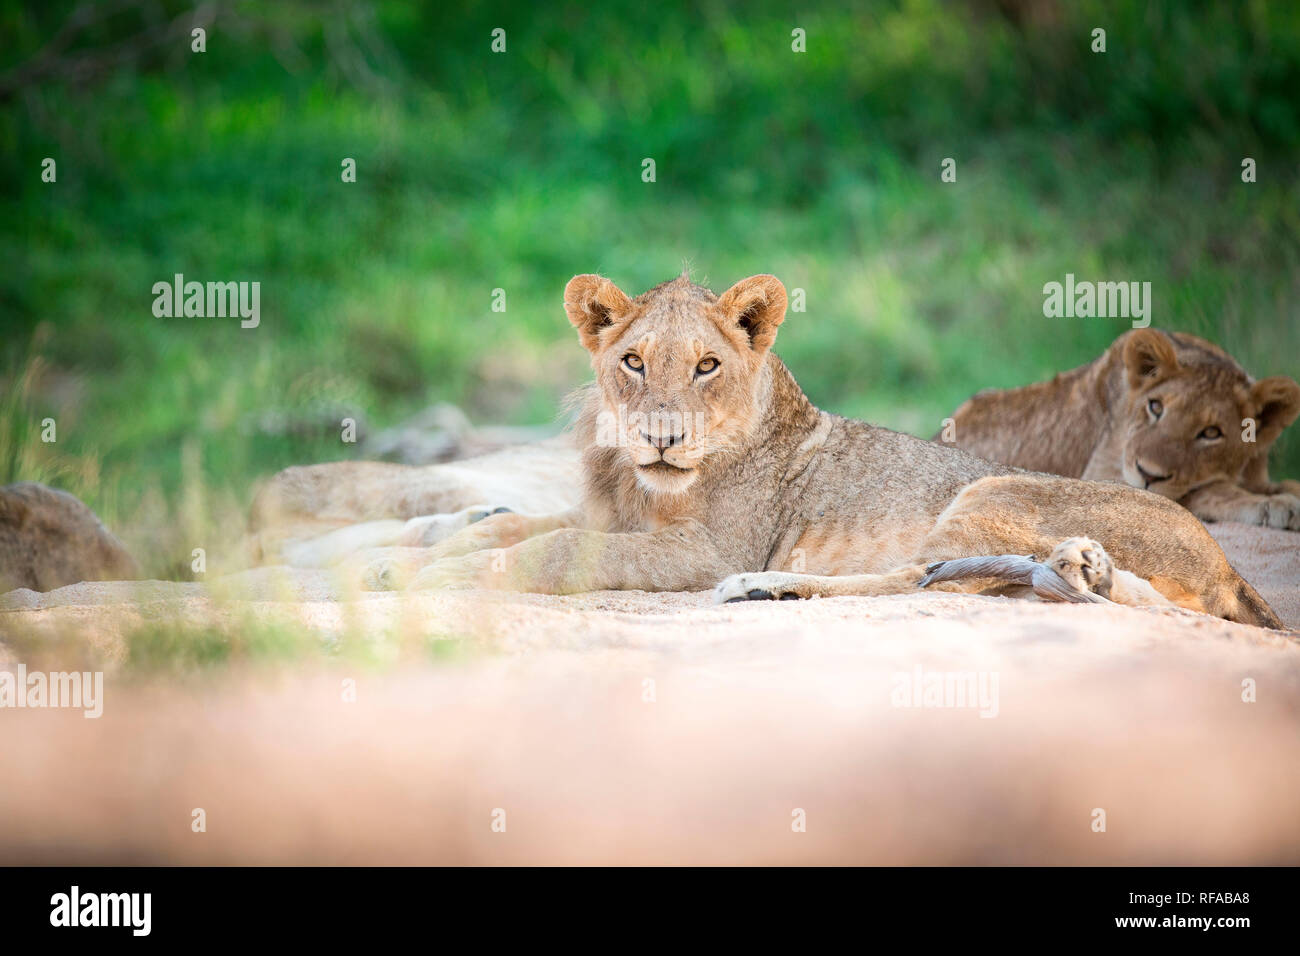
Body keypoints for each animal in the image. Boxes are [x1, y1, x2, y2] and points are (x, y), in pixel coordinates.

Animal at [938, 329, 1300, 530]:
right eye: (1156, 407)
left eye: (1212, 433)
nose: (1148, 474)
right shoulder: (1100, 475)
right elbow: (1205, 490)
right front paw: (1278, 507)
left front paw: (1282, 494)